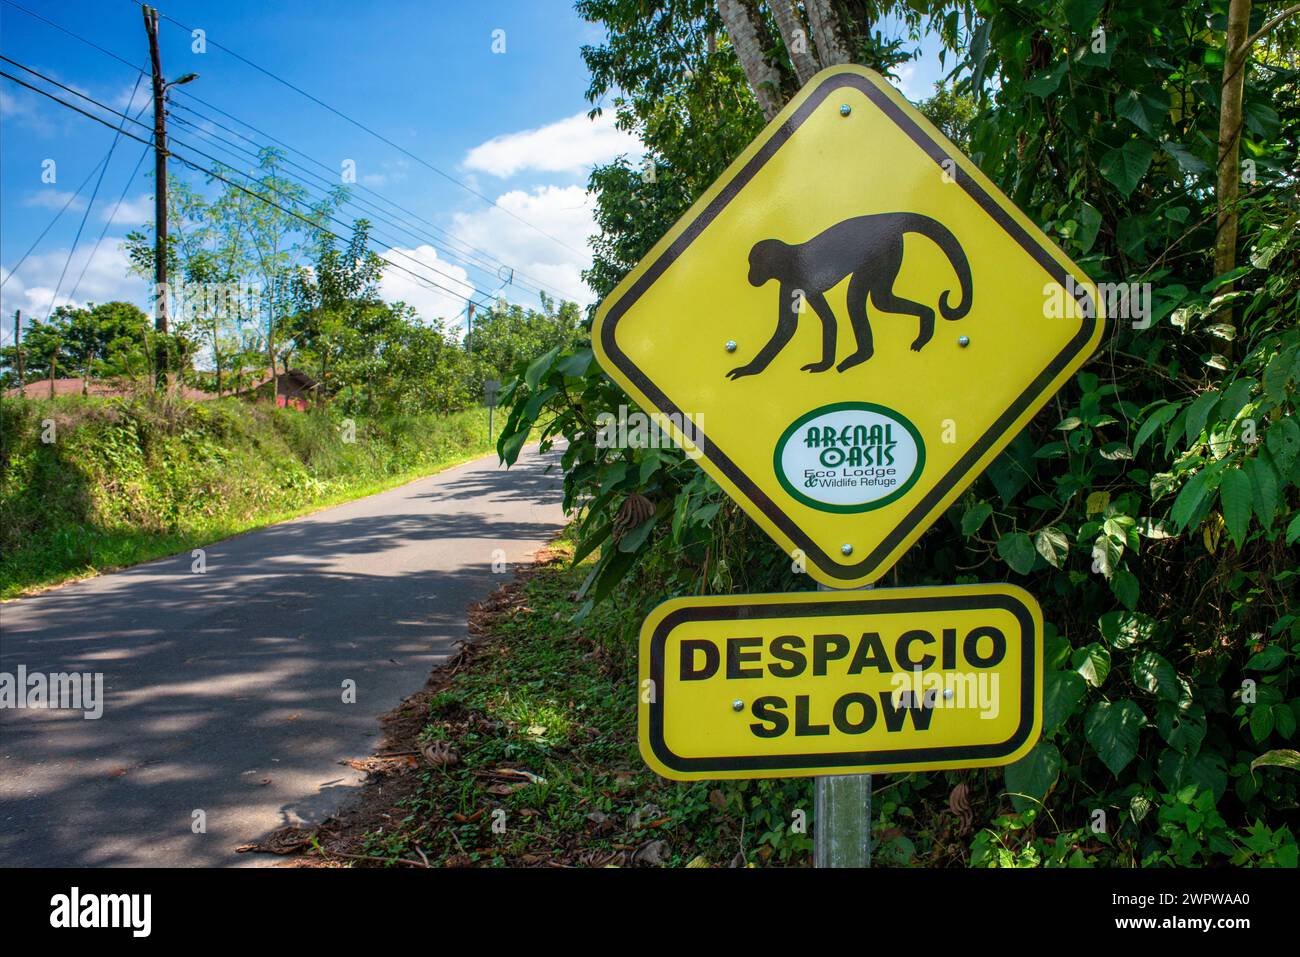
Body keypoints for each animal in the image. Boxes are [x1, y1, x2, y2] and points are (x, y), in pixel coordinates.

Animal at [726, 212, 973, 379]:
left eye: (754, 264)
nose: (750, 275)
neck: (788, 262)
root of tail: (887, 217)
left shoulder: (797, 279)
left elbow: (788, 329)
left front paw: (748, 369)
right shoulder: (791, 285)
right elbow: (823, 321)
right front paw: (823, 364)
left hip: (881, 251)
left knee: (865, 299)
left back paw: (864, 353)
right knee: (879, 299)